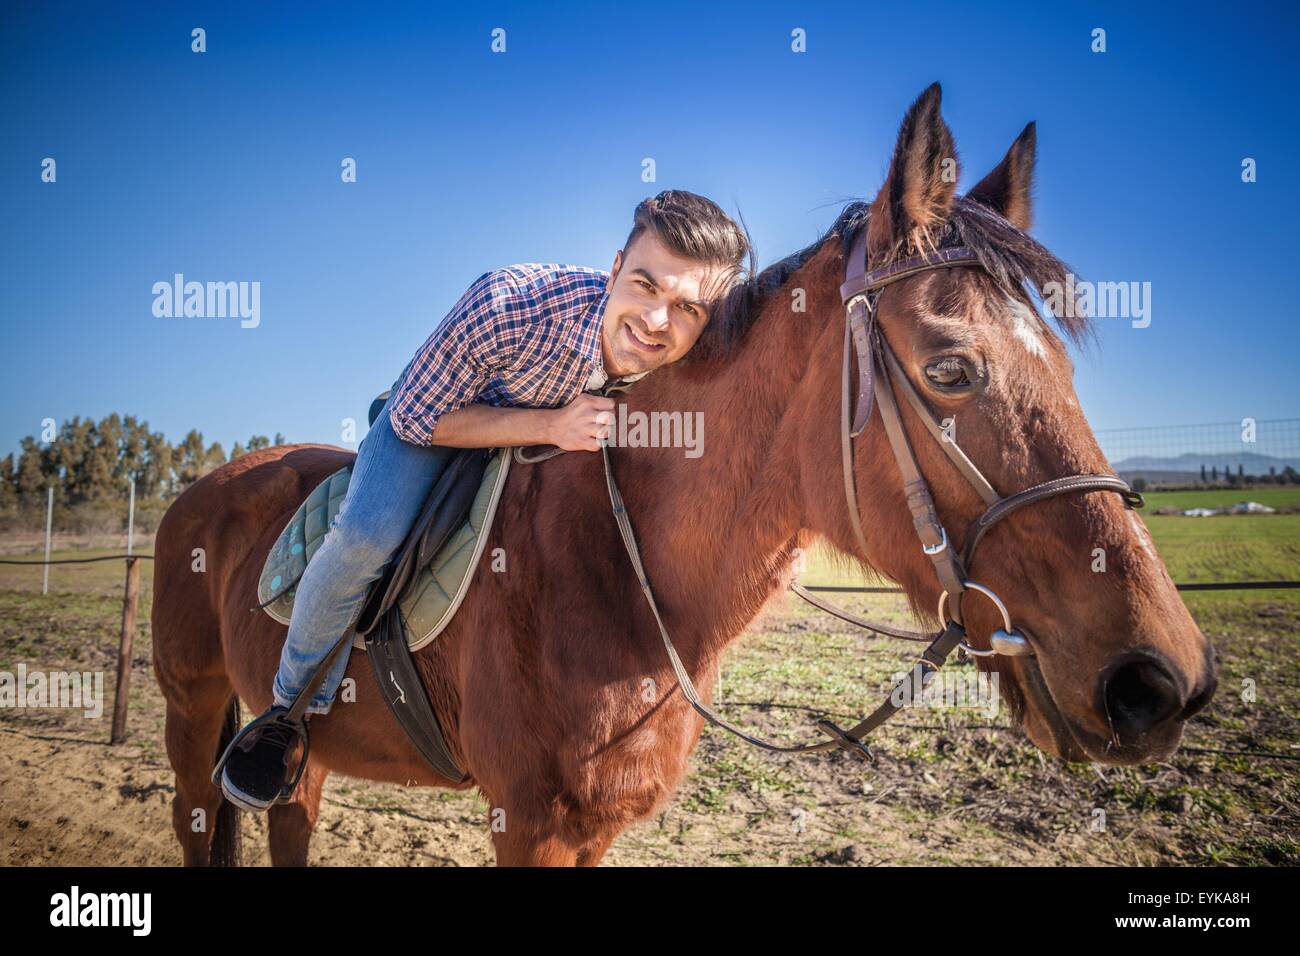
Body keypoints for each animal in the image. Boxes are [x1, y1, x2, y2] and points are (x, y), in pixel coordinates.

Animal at [151, 84, 1217, 867]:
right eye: (951, 368)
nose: (1160, 681)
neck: (620, 572)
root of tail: (203, 490)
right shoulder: (527, 824)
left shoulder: (587, 830)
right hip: (193, 711)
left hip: (305, 755)